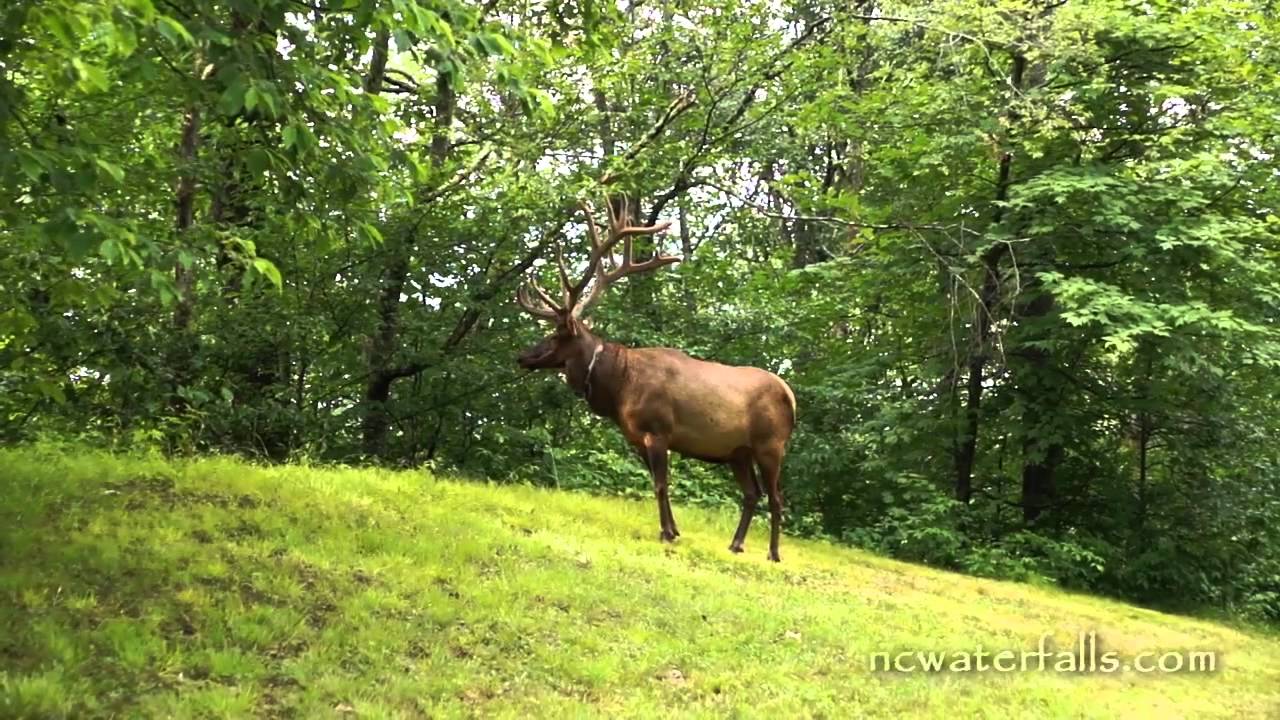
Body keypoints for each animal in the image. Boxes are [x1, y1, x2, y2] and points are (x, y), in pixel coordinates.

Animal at [514, 198, 797, 561]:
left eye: (555, 335)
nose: (522, 356)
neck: (619, 387)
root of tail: (792, 398)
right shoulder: (637, 437)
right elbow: (658, 483)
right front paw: (674, 530)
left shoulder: (658, 430)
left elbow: (661, 484)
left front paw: (666, 533)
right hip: (738, 451)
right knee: (752, 493)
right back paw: (735, 544)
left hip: (771, 444)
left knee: (776, 496)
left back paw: (773, 553)